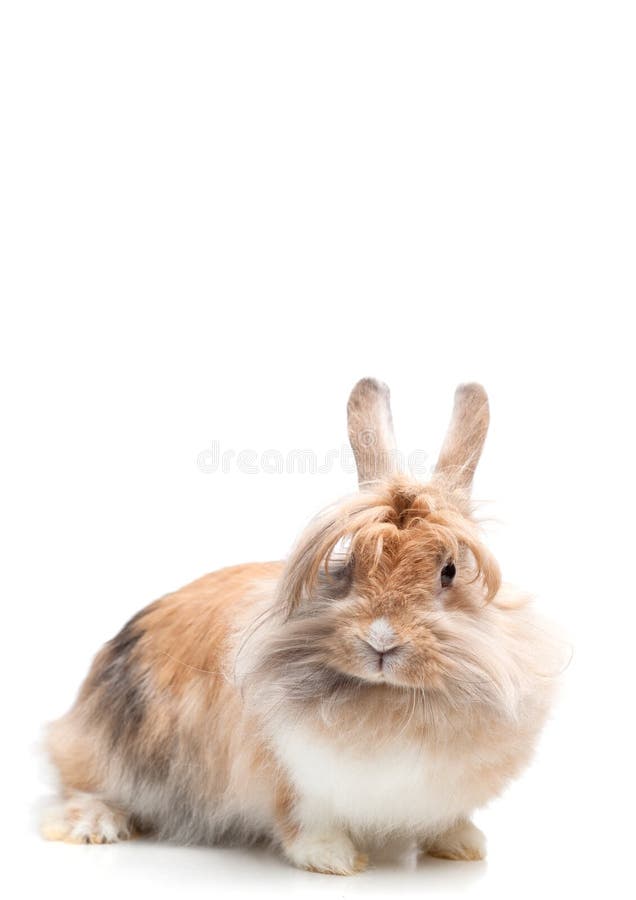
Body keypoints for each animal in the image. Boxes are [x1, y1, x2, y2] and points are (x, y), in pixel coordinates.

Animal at [42, 379, 563, 874]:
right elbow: (304, 821)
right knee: (80, 787)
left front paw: (464, 845)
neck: (392, 698)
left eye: (449, 571)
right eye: (349, 565)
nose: (381, 640)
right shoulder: (294, 781)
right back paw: (95, 826)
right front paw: (332, 860)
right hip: (106, 754)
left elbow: (447, 819)